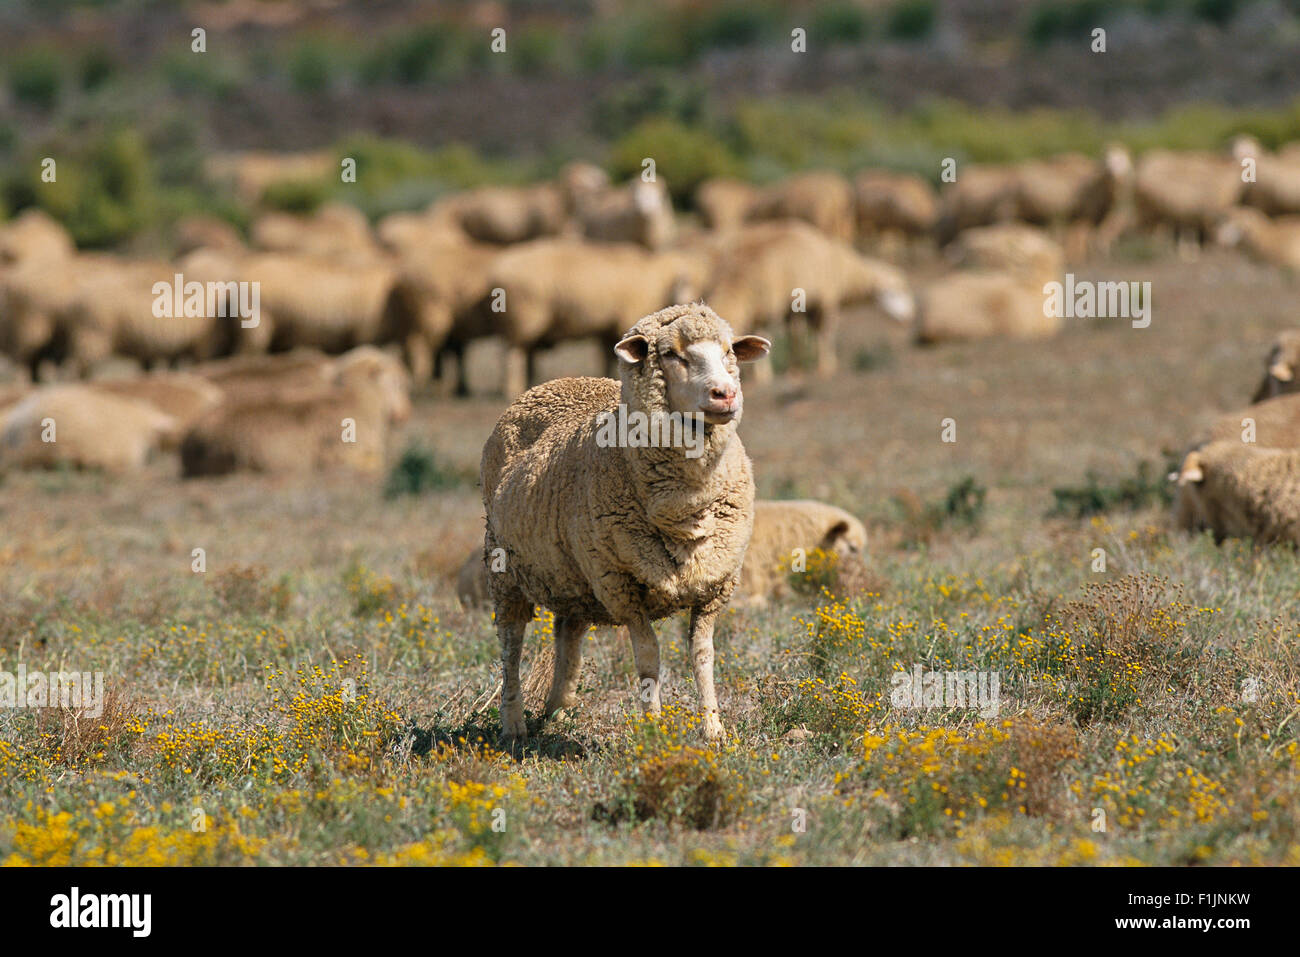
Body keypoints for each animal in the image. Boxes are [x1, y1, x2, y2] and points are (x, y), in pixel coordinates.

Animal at [180, 346, 410, 477]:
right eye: (397, 383)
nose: (405, 415)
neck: (358, 399)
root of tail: (190, 442)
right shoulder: (339, 456)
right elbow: (377, 463)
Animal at [480, 302, 770, 742]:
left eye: (729, 353)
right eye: (671, 354)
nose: (726, 394)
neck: (685, 510)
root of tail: (556, 382)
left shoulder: (714, 586)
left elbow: (703, 657)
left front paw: (714, 731)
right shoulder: (622, 585)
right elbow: (648, 658)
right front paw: (653, 729)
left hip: (573, 577)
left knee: (568, 635)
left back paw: (557, 713)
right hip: (506, 570)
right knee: (511, 644)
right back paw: (514, 724)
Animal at [485, 238, 706, 397]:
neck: (657, 278)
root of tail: (498, 271)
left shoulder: (607, 328)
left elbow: (607, 356)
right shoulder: (624, 320)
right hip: (523, 319)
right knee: (513, 354)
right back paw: (512, 387)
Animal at [701, 220, 914, 376]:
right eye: (893, 290)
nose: (909, 317)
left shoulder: (796, 306)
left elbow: (800, 335)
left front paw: (803, 366)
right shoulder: (822, 302)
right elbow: (820, 333)